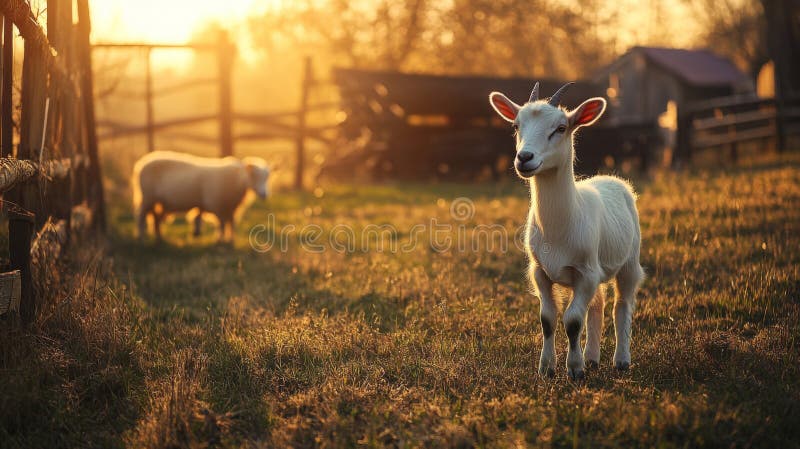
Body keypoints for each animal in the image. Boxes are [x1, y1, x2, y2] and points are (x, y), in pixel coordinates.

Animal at [132, 151, 271, 242]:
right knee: (141, 216)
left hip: (159, 201)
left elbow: (230, 223)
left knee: (156, 219)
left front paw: (230, 240)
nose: (265, 194)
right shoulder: (217, 205)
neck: (237, 180)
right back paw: (141, 237)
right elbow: (221, 224)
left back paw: (159, 237)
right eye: (254, 176)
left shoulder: (230, 208)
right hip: (147, 197)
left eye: (266, 177)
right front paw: (220, 240)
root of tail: (142, 163)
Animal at [489, 82, 644, 380]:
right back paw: (593, 357)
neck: (559, 230)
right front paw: (547, 368)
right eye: (516, 125)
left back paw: (621, 360)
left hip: (630, 260)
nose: (524, 158)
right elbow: (548, 320)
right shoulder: (540, 271)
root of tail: (609, 178)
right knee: (598, 305)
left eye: (560, 128)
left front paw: (574, 369)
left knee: (621, 306)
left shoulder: (585, 272)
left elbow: (572, 321)